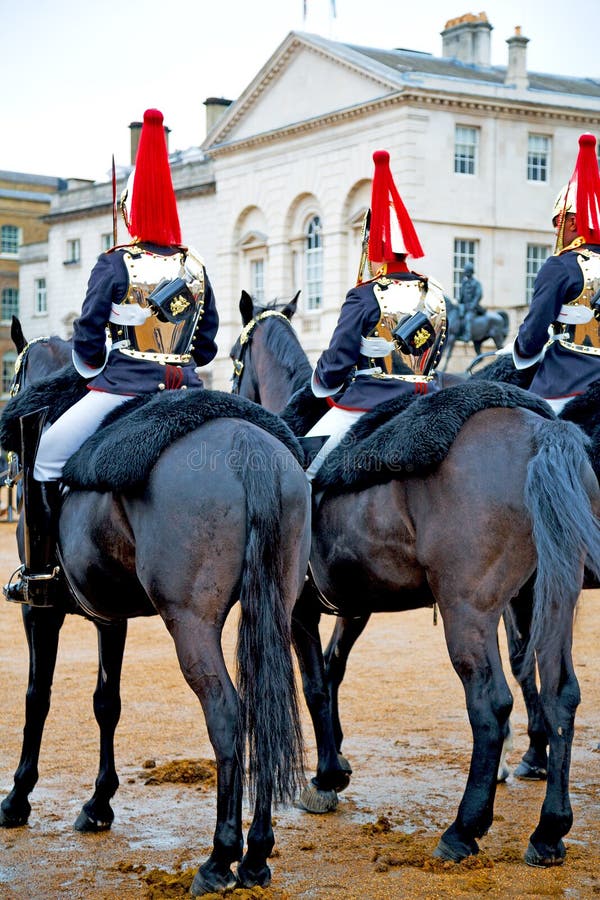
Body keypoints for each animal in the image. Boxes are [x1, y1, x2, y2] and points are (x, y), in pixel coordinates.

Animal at [0, 319, 312, 896]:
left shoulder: (41, 611)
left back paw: (220, 857)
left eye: (15, 373)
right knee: (263, 708)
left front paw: (17, 797)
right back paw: (256, 855)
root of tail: (248, 446)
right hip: (274, 611)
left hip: (190, 626)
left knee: (227, 712)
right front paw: (98, 804)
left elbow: (37, 699)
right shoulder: (111, 616)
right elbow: (107, 703)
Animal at [231, 291, 600, 868]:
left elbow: (314, 683)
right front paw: (337, 761)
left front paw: (326, 776)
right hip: (544, 597)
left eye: (233, 356)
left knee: (491, 704)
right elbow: (333, 672)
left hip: (469, 611)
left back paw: (465, 827)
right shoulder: (354, 602)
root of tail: (544, 430)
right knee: (561, 692)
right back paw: (549, 830)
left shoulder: (299, 608)